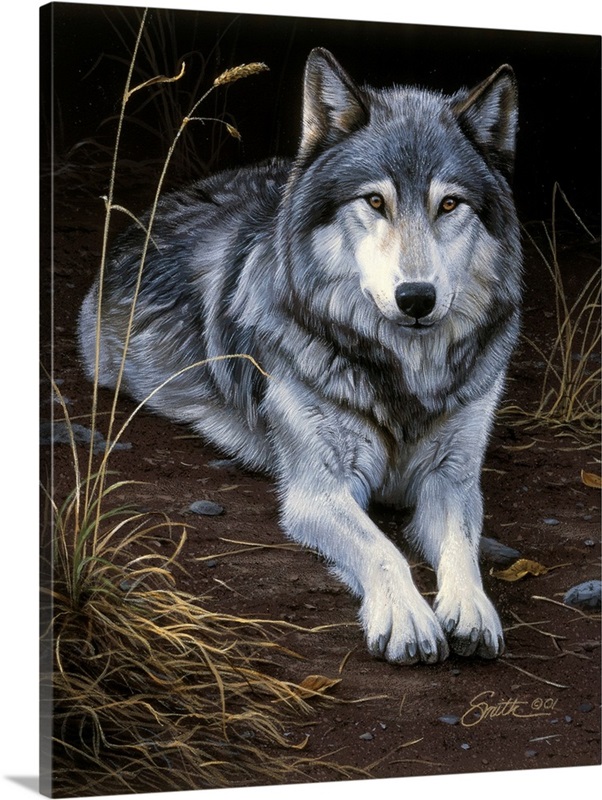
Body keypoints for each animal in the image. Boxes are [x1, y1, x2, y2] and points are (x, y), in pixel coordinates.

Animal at [78, 48, 522, 665]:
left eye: (449, 203)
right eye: (375, 201)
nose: (416, 298)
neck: (403, 381)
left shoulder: (451, 480)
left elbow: (462, 547)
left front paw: (471, 609)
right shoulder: (320, 490)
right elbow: (383, 548)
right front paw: (408, 617)